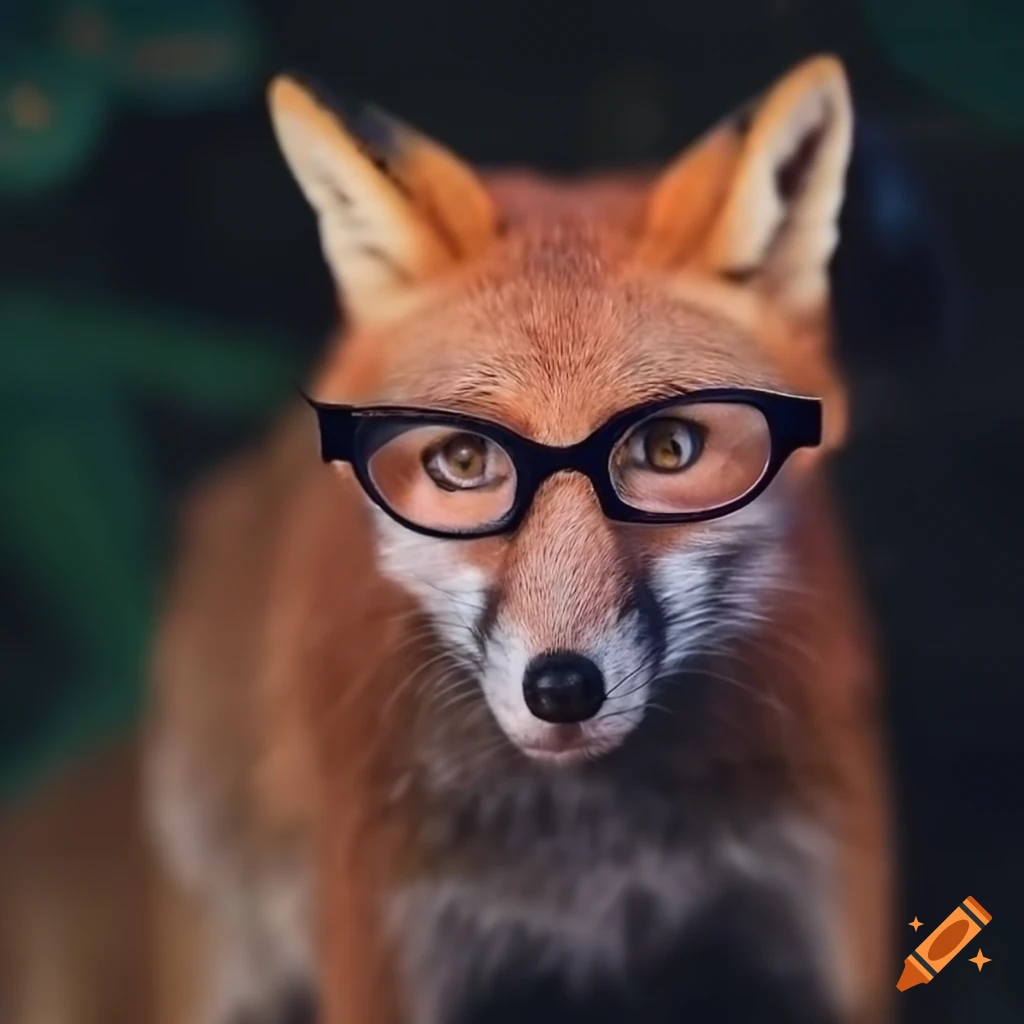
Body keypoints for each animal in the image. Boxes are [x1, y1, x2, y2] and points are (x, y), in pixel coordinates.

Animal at [146, 54, 896, 1024]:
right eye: (464, 461)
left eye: (669, 448)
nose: (562, 689)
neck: (598, 868)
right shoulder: (383, 939)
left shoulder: (831, 907)